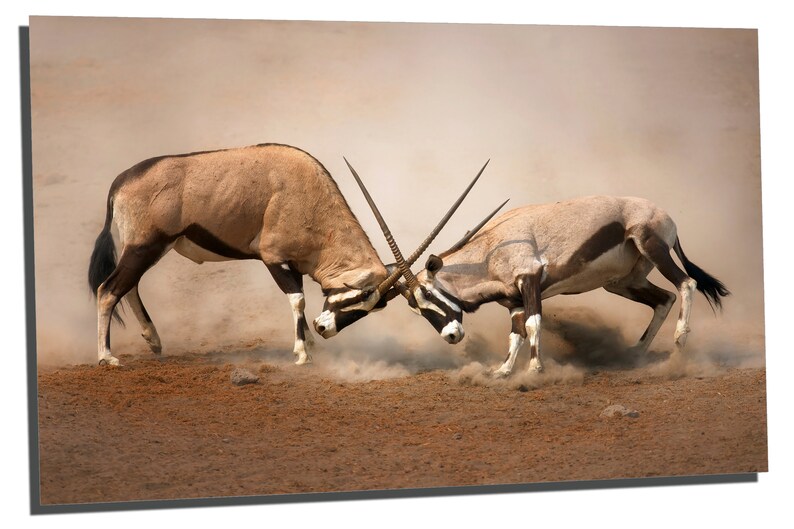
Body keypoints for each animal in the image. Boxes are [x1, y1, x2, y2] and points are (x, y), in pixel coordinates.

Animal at [88, 143, 485, 366]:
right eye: (356, 296)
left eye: (370, 308)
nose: (325, 330)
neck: (309, 197)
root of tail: (120, 182)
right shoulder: (274, 258)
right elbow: (297, 299)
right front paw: (303, 353)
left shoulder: (292, 263)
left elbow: (302, 301)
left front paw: (308, 344)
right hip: (146, 246)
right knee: (109, 290)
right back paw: (106, 357)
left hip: (150, 248)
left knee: (128, 287)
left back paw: (153, 340)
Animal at [347, 182, 730, 377]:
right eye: (415, 308)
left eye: (430, 296)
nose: (452, 336)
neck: (490, 250)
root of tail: (665, 215)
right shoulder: (512, 300)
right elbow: (515, 332)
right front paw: (502, 371)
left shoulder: (529, 281)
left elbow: (533, 324)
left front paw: (534, 369)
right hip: (622, 282)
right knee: (663, 299)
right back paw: (634, 355)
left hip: (652, 246)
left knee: (685, 284)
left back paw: (678, 345)